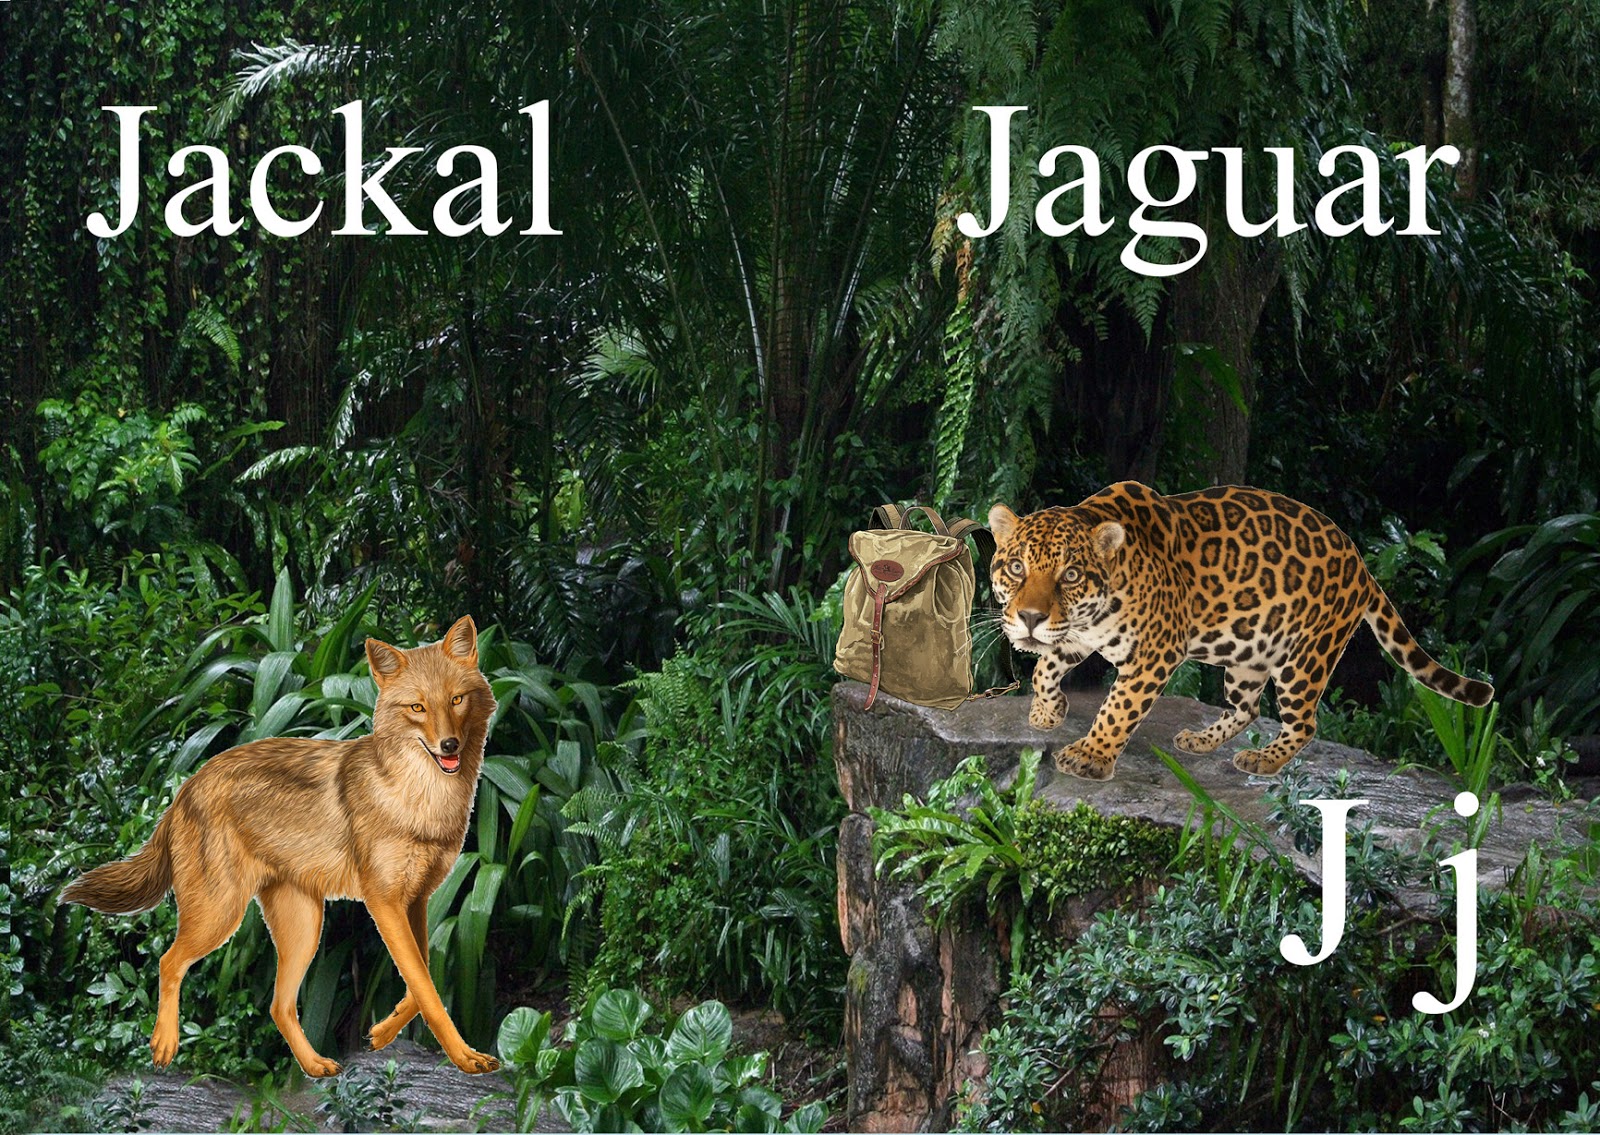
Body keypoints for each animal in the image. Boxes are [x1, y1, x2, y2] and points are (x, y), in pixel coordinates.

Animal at [989, 481, 1493, 781]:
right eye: (1017, 568)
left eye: (1070, 576)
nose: (1030, 617)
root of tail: (1362, 565)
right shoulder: (1076, 633)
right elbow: (1045, 667)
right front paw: (1048, 711)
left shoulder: (1154, 652)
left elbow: (1117, 708)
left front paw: (1090, 755)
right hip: (1248, 653)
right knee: (1248, 708)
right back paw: (1201, 740)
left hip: (1305, 659)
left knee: (1304, 722)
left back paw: (1264, 759)